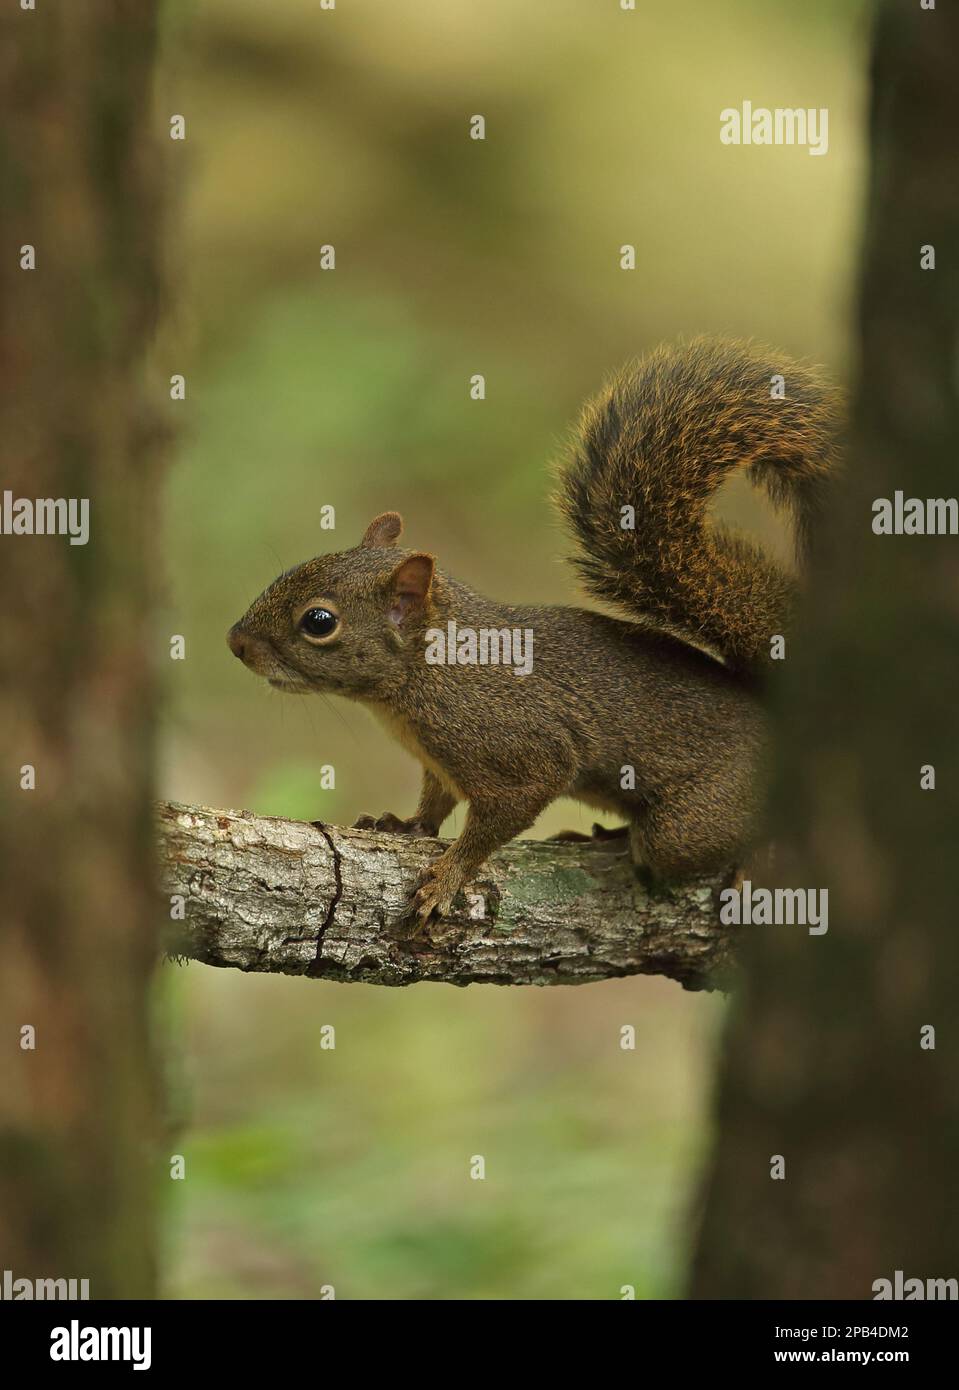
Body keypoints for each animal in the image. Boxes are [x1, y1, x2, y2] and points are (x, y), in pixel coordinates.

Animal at [227, 337, 841, 927]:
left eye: (319, 622)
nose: (236, 643)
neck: (424, 676)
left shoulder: (514, 746)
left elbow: (504, 815)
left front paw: (448, 876)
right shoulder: (438, 763)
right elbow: (435, 801)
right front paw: (406, 825)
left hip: (694, 822)